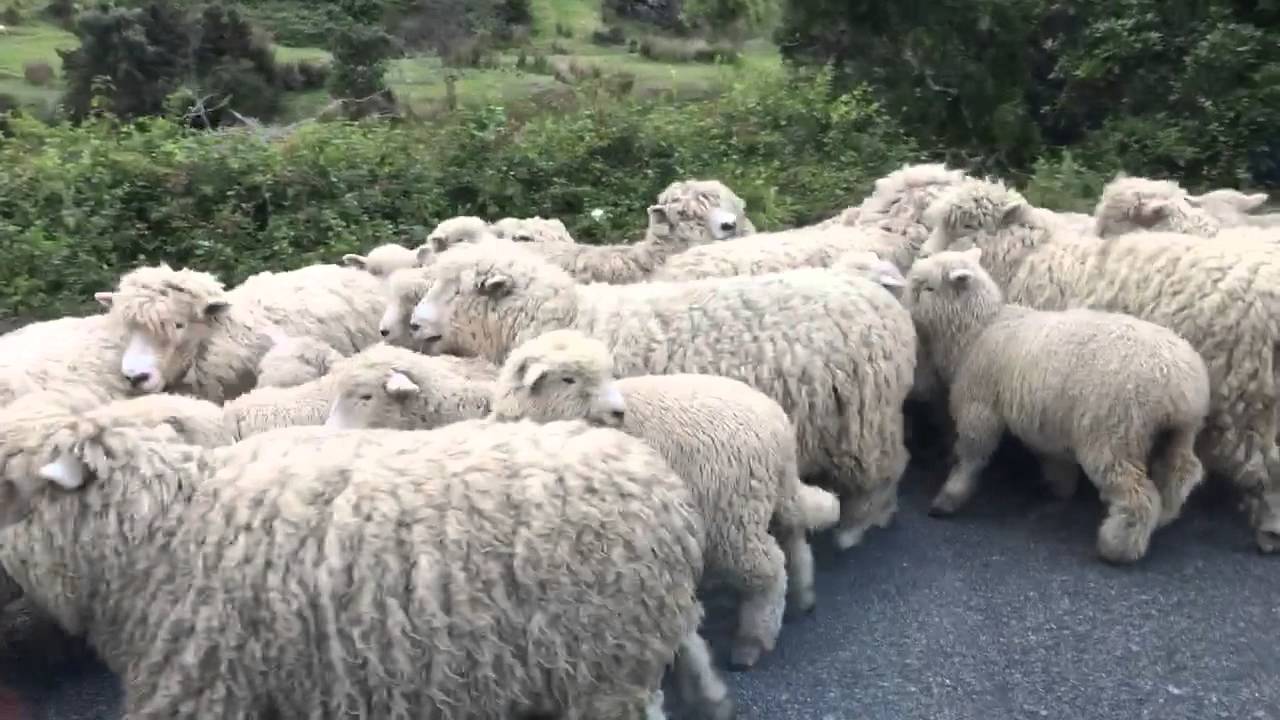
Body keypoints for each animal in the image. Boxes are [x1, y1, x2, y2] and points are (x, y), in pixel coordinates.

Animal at [410, 238, 917, 550]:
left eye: (457, 290)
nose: (413, 325)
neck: (571, 318)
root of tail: (879, 296)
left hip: (865, 415)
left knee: (889, 466)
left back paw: (858, 526)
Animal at [486, 329, 840, 670]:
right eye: (568, 379)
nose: (618, 412)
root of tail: (779, 427)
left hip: (731, 517)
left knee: (769, 569)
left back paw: (752, 641)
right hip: (762, 499)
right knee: (793, 537)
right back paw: (803, 596)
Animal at [907, 248, 1211, 562]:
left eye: (928, 288)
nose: (906, 307)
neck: (978, 330)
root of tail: (1178, 382)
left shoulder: (978, 407)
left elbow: (969, 456)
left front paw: (948, 498)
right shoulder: (1041, 418)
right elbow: (1053, 457)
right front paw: (1058, 488)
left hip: (1113, 435)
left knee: (1139, 495)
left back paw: (1117, 546)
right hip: (1180, 430)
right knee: (1182, 472)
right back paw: (1164, 517)